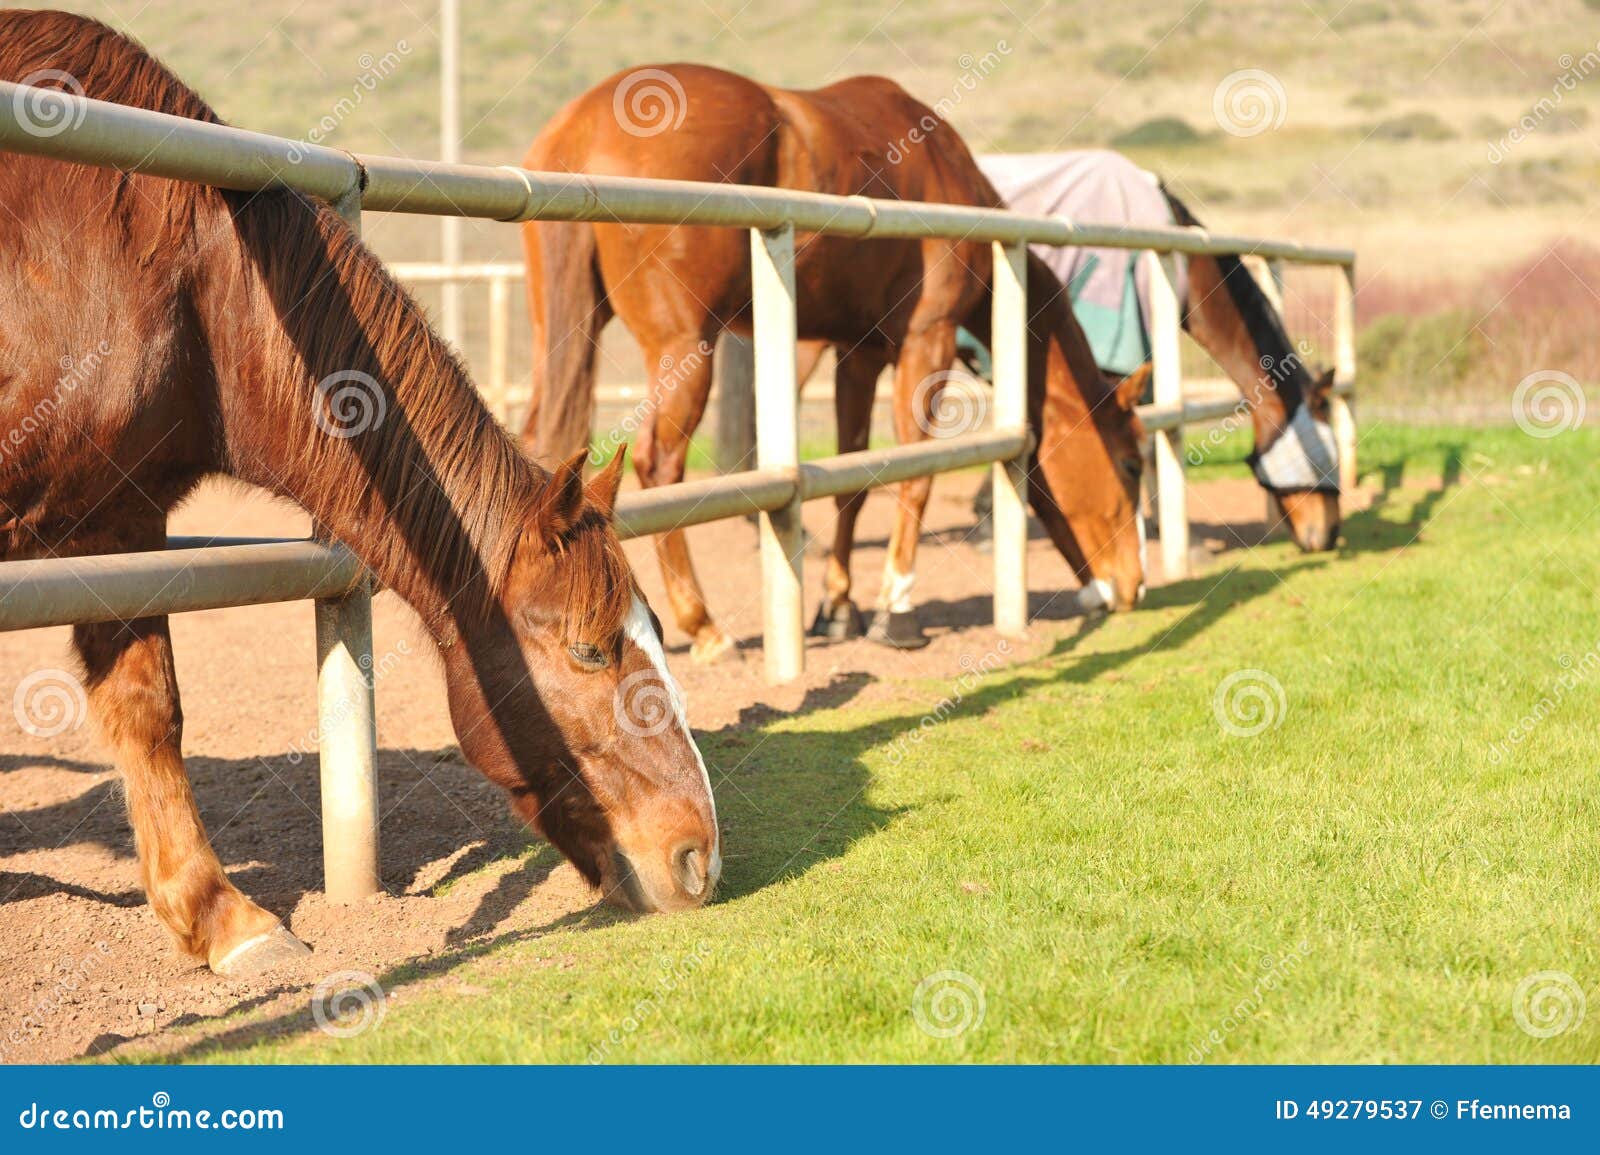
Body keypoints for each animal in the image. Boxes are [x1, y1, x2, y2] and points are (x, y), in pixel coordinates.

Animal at [518, 64, 1148, 659]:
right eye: (1131, 465)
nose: (1133, 586)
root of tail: (581, 125)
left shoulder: (858, 356)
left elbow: (856, 479)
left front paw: (840, 606)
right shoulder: (928, 340)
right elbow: (915, 471)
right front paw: (897, 610)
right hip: (685, 351)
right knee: (659, 462)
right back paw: (704, 626)